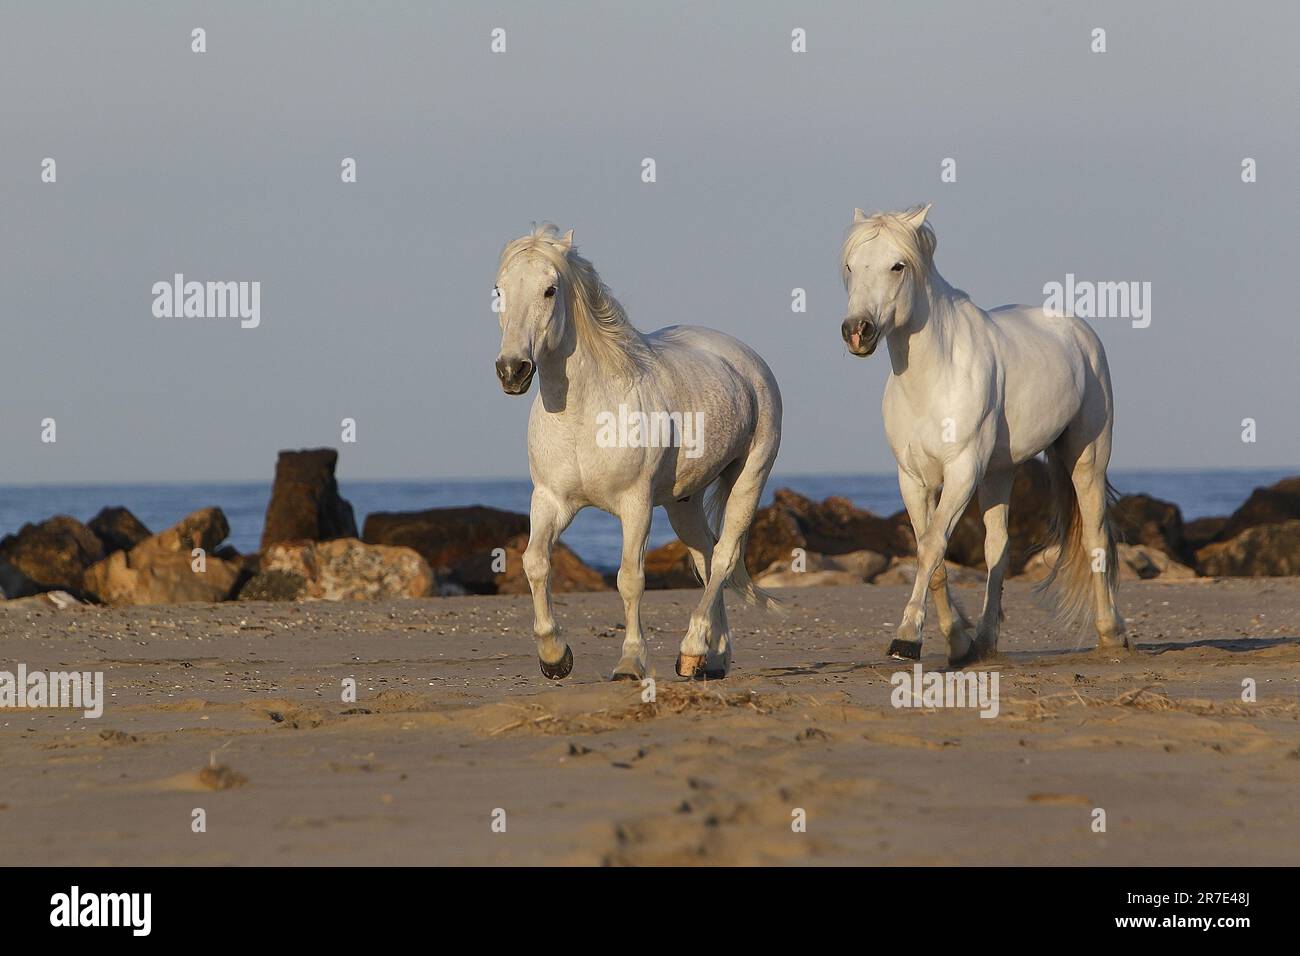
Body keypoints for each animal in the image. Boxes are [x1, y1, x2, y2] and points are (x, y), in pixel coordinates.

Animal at [493, 224, 783, 681]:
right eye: (499, 290)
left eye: (549, 290)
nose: (512, 370)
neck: (582, 416)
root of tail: (744, 357)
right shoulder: (551, 500)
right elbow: (536, 562)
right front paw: (555, 656)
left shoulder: (636, 505)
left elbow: (630, 578)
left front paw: (630, 662)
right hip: (684, 503)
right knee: (705, 557)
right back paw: (710, 658)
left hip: (749, 479)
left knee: (723, 557)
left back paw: (692, 647)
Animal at [839, 204, 1127, 666]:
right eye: (850, 266)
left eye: (898, 265)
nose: (857, 331)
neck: (933, 378)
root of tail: (1079, 332)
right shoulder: (913, 479)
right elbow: (932, 554)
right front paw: (957, 640)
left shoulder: (962, 471)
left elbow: (933, 545)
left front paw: (906, 637)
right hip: (999, 473)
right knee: (998, 550)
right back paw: (986, 641)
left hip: (1087, 458)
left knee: (1096, 537)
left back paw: (1111, 633)